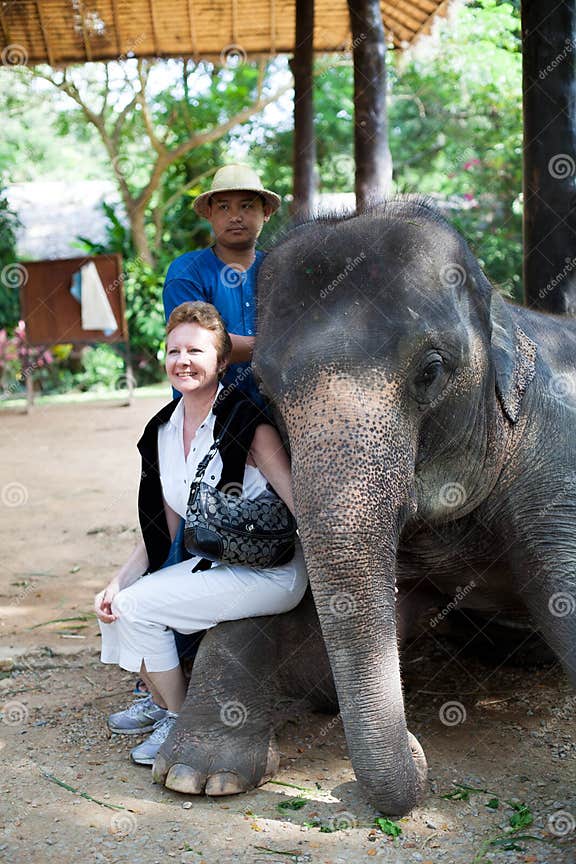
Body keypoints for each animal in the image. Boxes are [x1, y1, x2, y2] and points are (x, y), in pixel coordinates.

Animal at [152, 198, 576, 817]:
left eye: (432, 370)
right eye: (266, 390)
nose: (419, 752)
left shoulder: (556, 467)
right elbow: (299, 641)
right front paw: (197, 775)